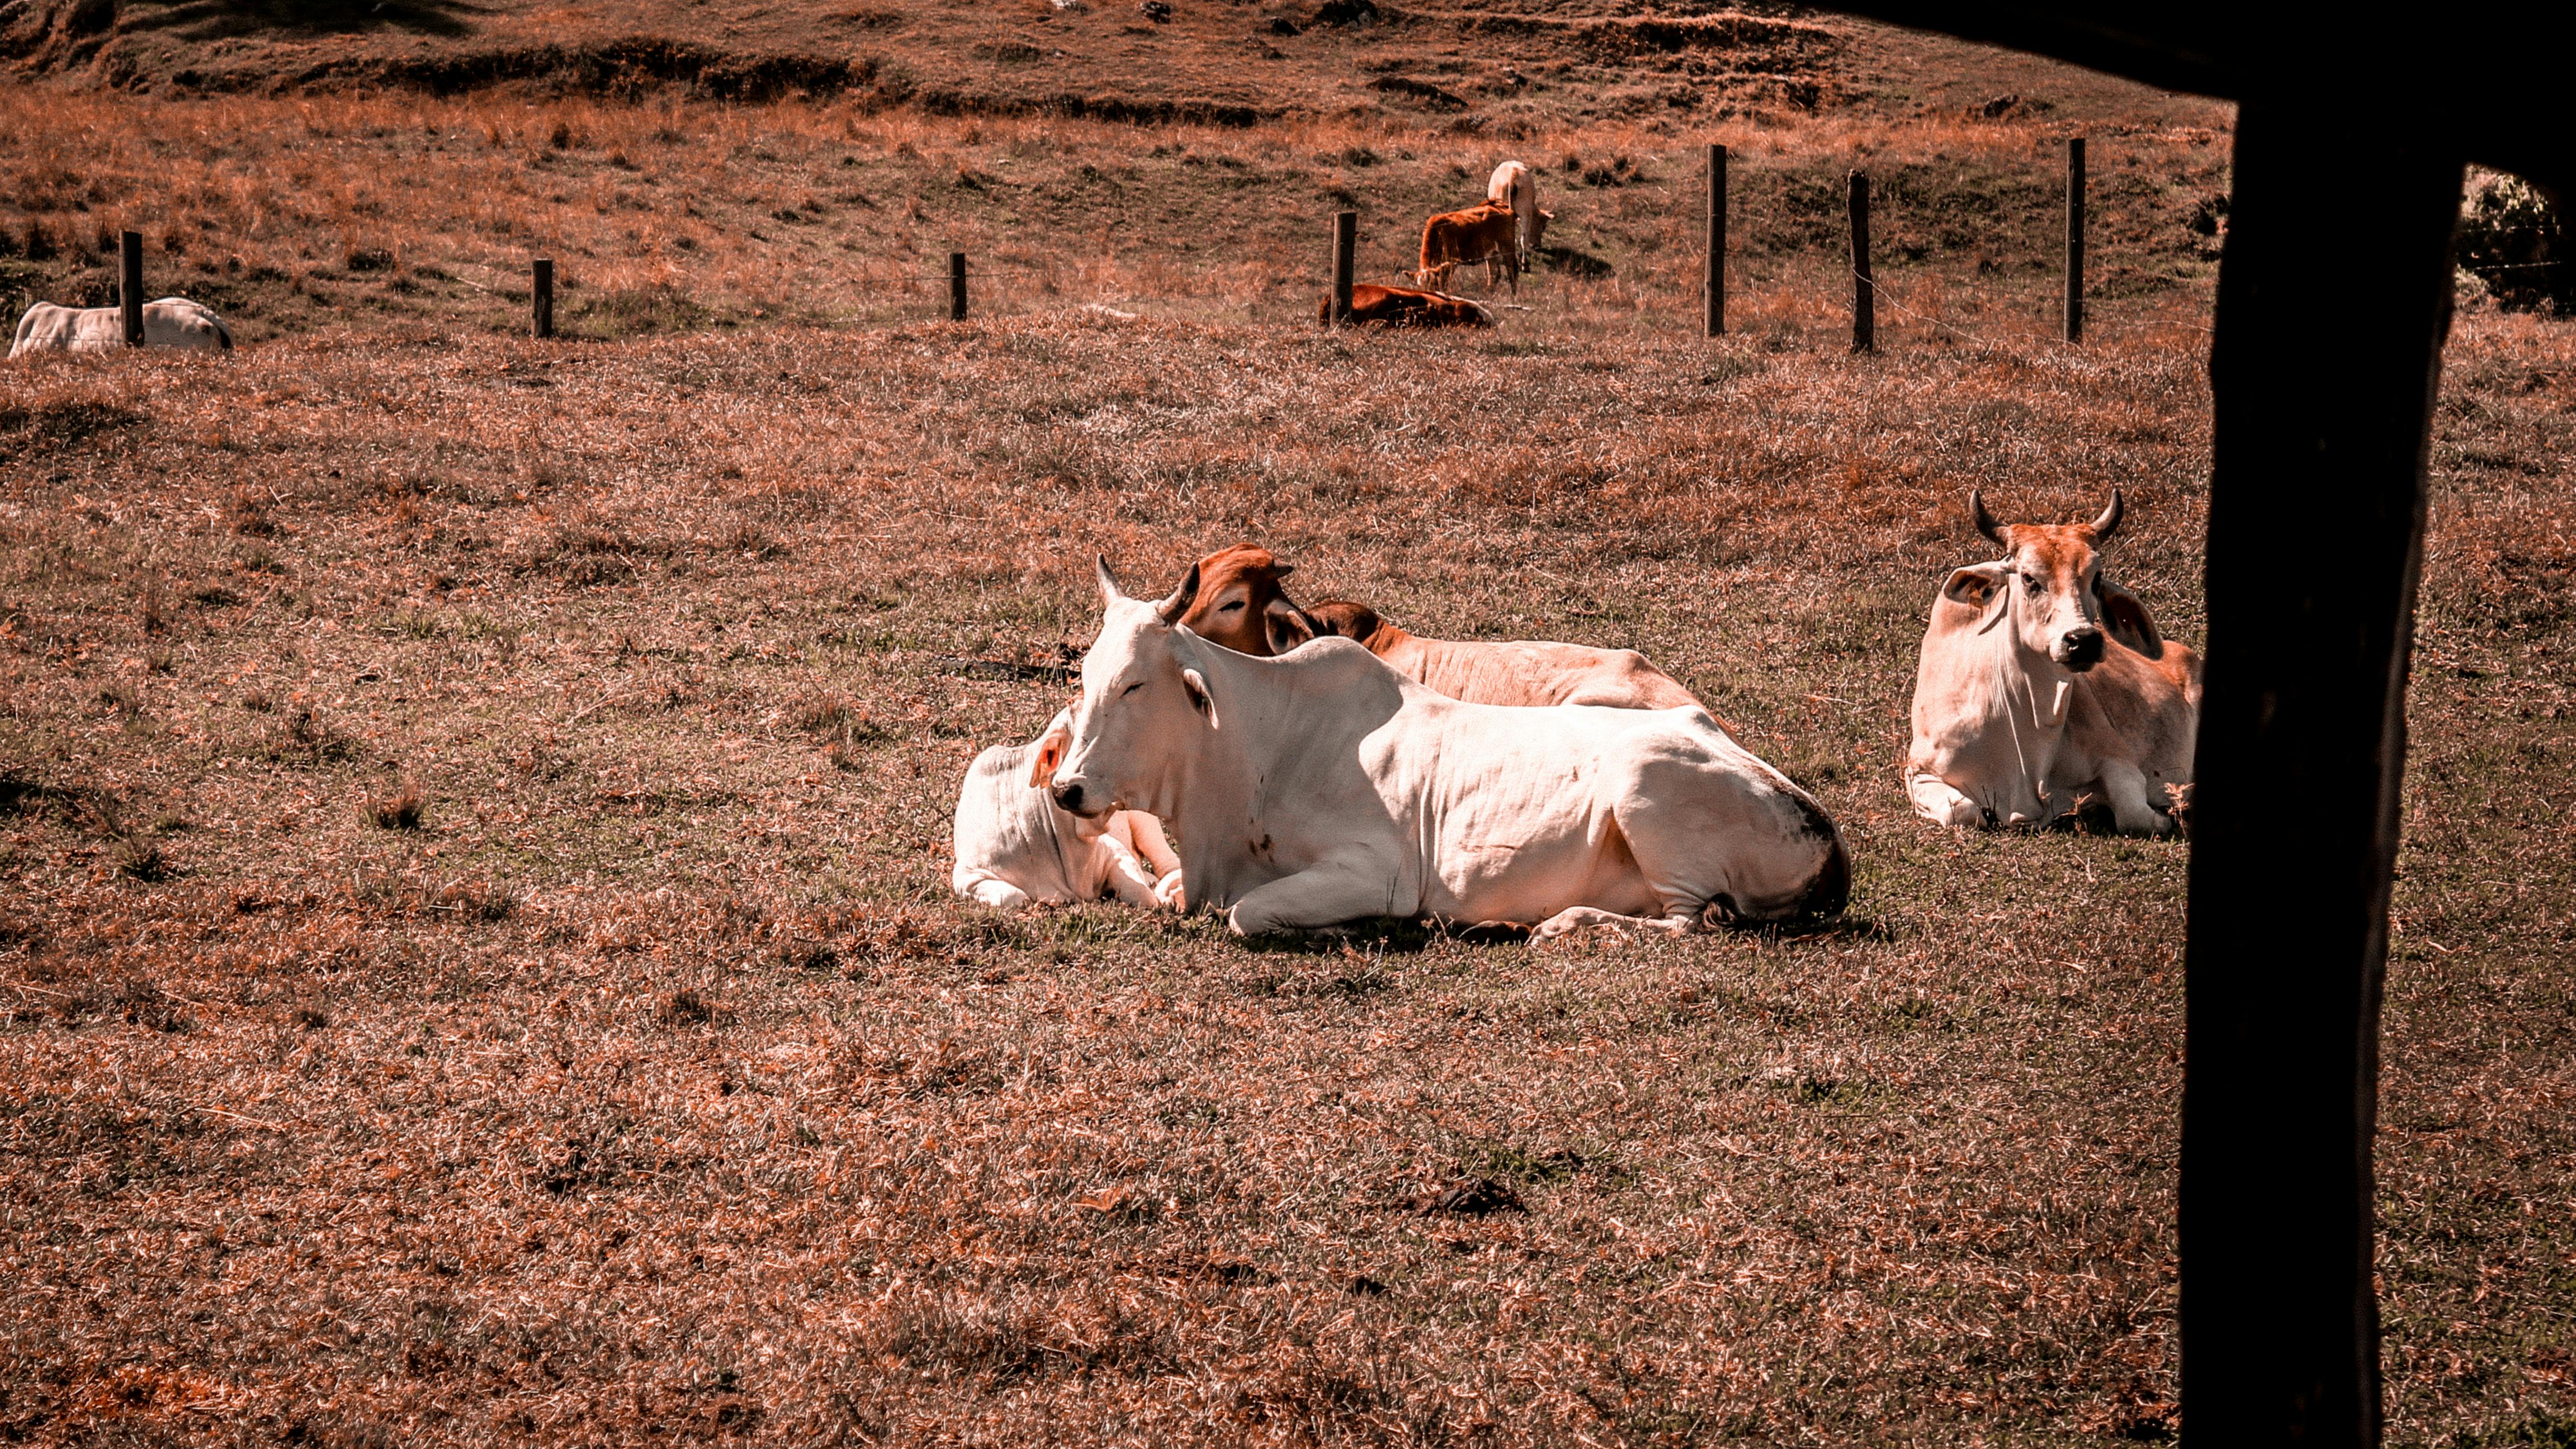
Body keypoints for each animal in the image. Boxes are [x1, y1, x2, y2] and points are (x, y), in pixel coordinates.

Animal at [1416, 199, 1520, 295]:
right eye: (1422, 286)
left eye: (1432, 284)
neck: (1438, 232)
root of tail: (1503, 208)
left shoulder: (1451, 263)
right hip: (1492, 254)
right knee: (1494, 274)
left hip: (1507, 250)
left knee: (1512, 273)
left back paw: (1513, 296)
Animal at [1485, 160, 1553, 268]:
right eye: (1543, 226)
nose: (1538, 247)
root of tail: (1514, 174)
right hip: (1525, 213)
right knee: (1524, 238)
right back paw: (1525, 264)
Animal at [1904, 489, 2202, 835]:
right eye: (2029, 578)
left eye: (2096, 577)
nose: (2083, 641)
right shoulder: (1919, 771)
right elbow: (1962, 812)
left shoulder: (2117, 758)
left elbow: (2134, 814)